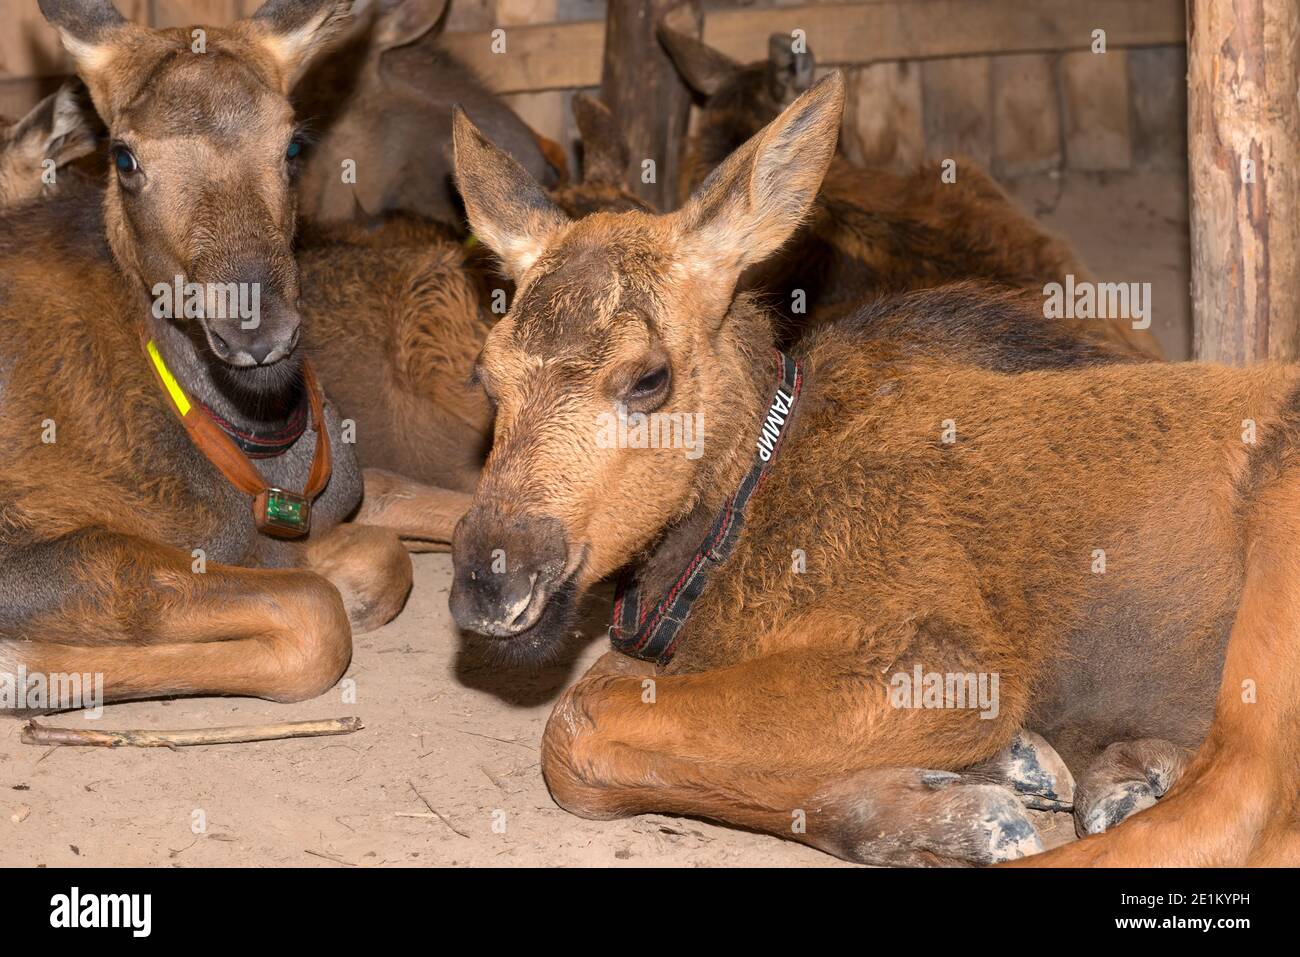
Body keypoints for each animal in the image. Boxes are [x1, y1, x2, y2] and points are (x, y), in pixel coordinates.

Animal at [446, 73, 1298, 866]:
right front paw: (977, 782)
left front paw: (955, 815)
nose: (489, 576)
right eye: (485, 375)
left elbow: (577, 731)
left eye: (649, 377)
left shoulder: (941, 658)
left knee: (1234, 802)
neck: (738, 524)